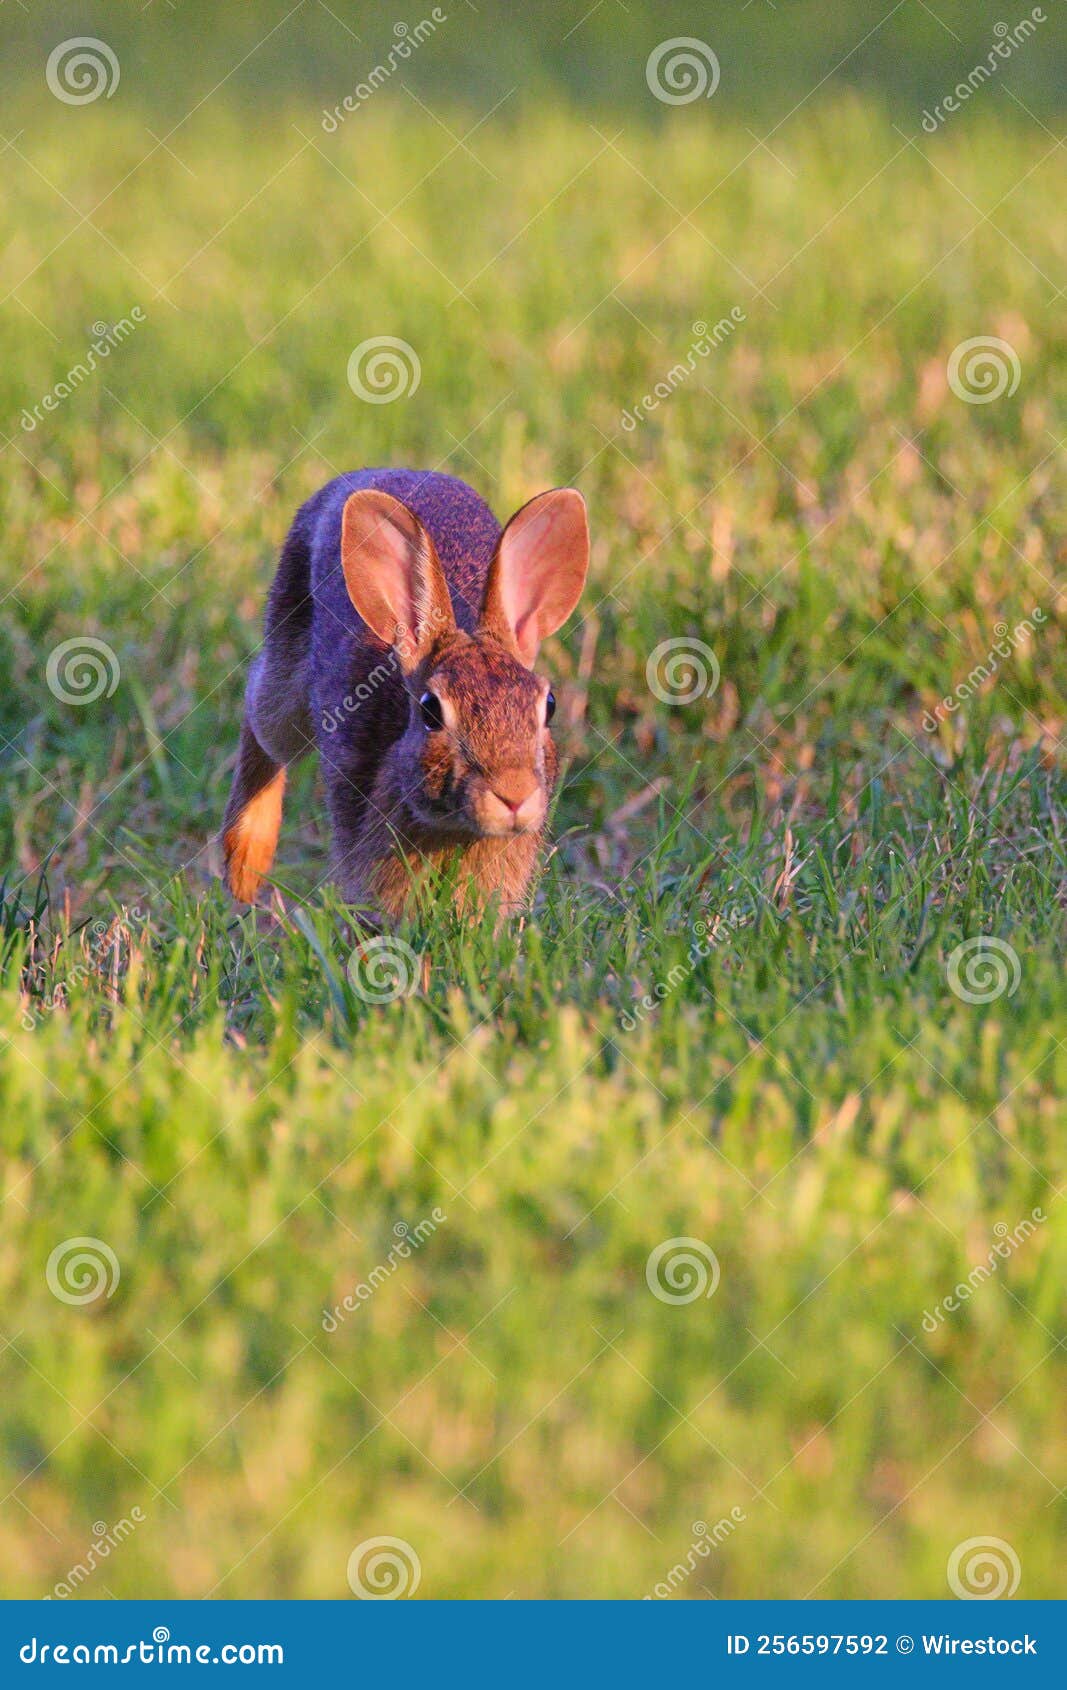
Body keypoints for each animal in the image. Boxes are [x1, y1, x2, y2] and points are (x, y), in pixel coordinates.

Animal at [221, 469, 589, 921]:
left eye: (548, 707)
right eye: (431, 712)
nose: (515, 794)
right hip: (286, 688)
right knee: (259, 713)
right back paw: (243, 867)